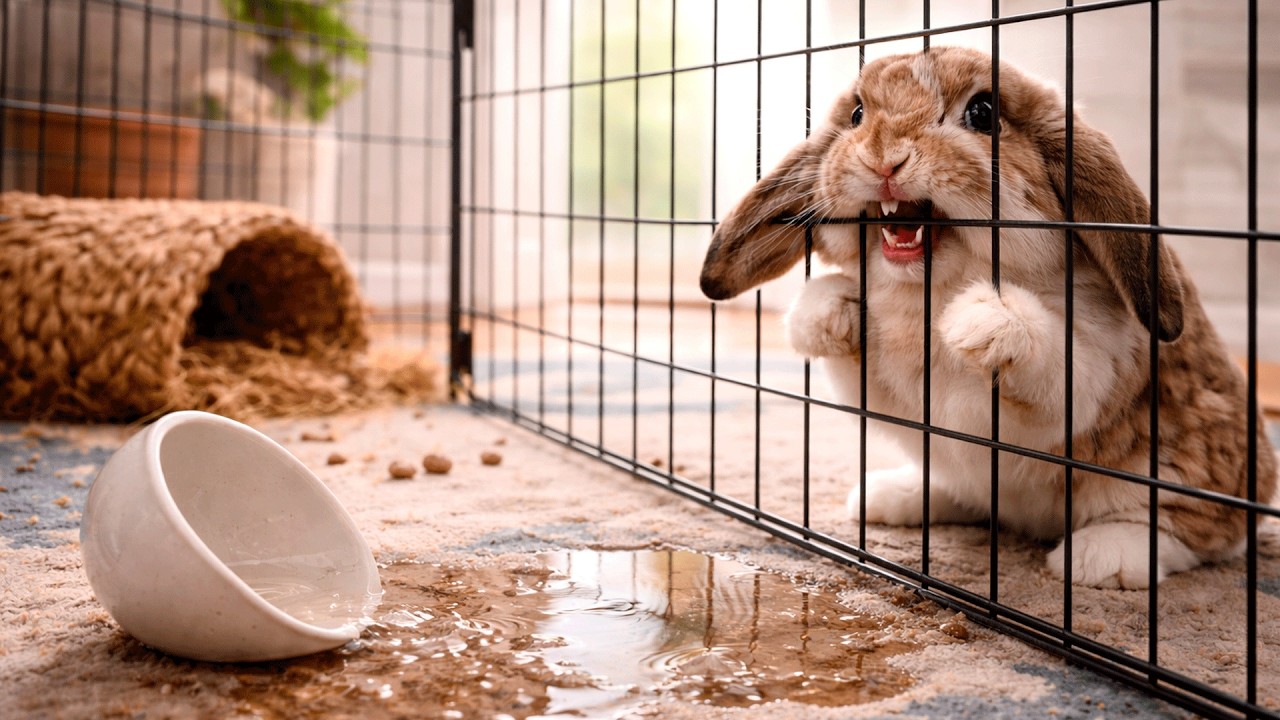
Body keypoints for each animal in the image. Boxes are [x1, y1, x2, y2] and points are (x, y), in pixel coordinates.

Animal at [698, 46, 1276, 589]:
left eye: (983, 112)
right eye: (858, 114)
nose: (884, 160)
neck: (926, 292)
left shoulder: (1088, 370)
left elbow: (1056, 368)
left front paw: (979, 322)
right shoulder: (879, 390)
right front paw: (831, 308)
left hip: (1183, 463)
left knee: (1200, 530)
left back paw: (1103, 557)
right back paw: (889, 495)